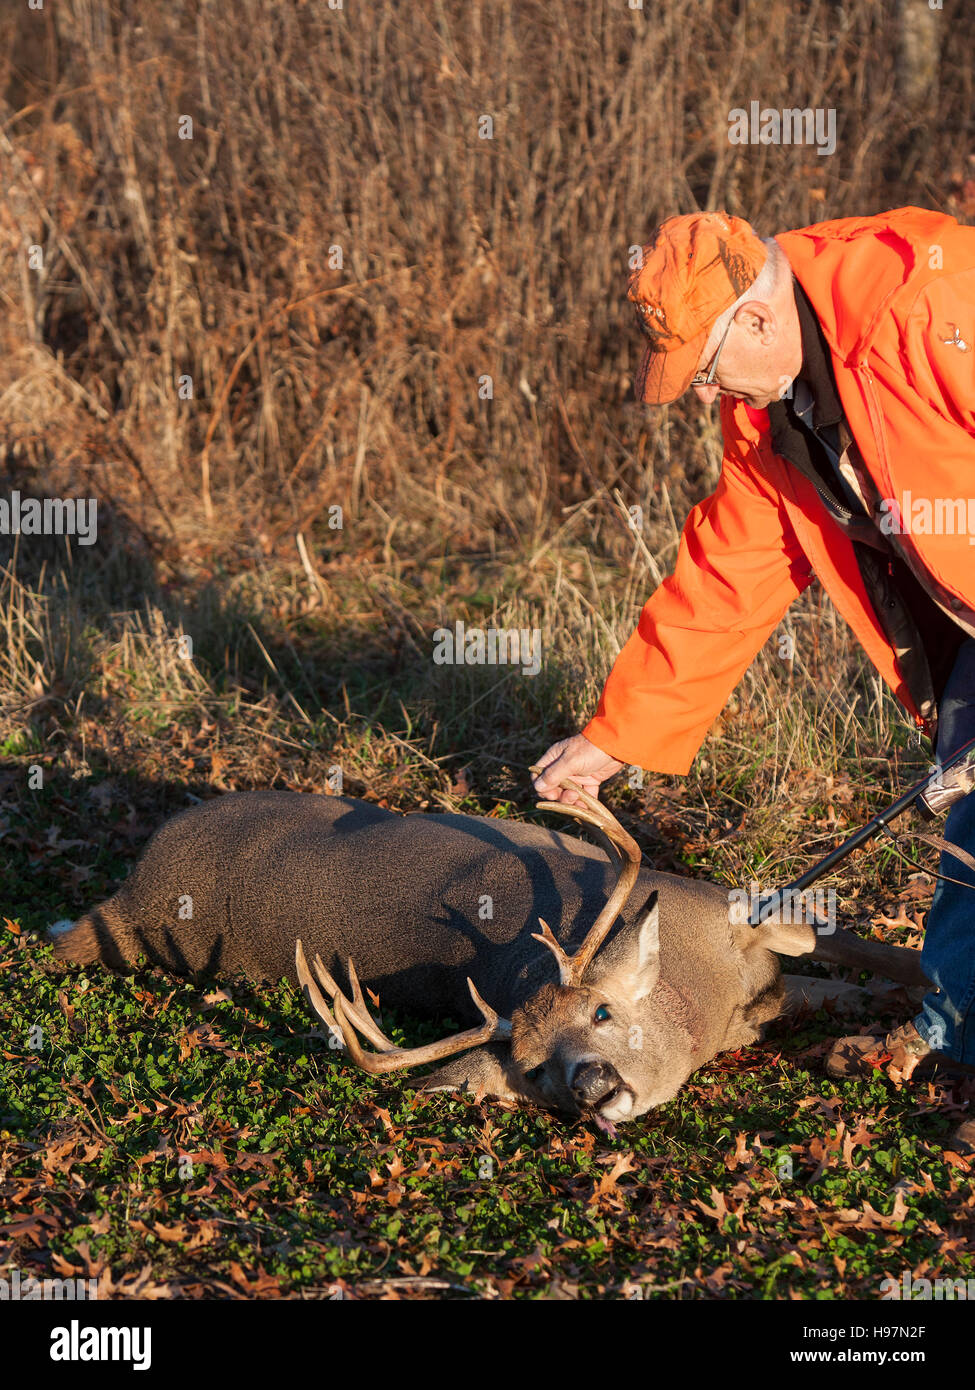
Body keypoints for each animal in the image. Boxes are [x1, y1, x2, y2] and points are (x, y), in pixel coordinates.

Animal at [49, 782, 927, 1128]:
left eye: (601, 1010)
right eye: (534, 1073)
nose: (593, 1086)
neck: (704, 996)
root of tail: (129, 893)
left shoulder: (738, 910)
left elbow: (880, 957)